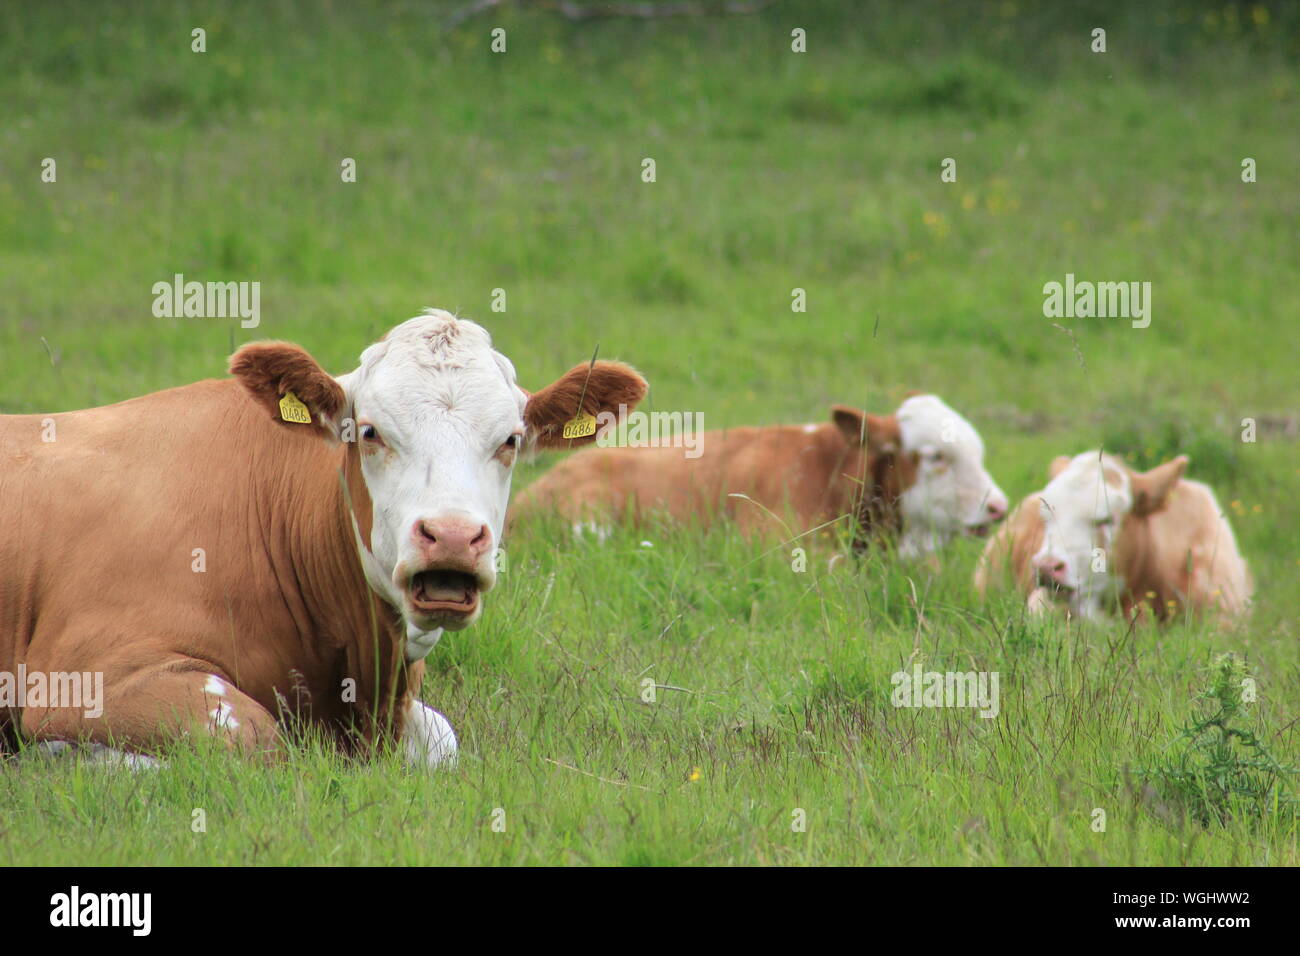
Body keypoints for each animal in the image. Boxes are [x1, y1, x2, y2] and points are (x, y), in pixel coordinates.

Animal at [0, 310, 647, 768]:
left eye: (510, 440)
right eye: (370, 431)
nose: (452, 536)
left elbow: (443, 742)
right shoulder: (87, 675)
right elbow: (254, 739)